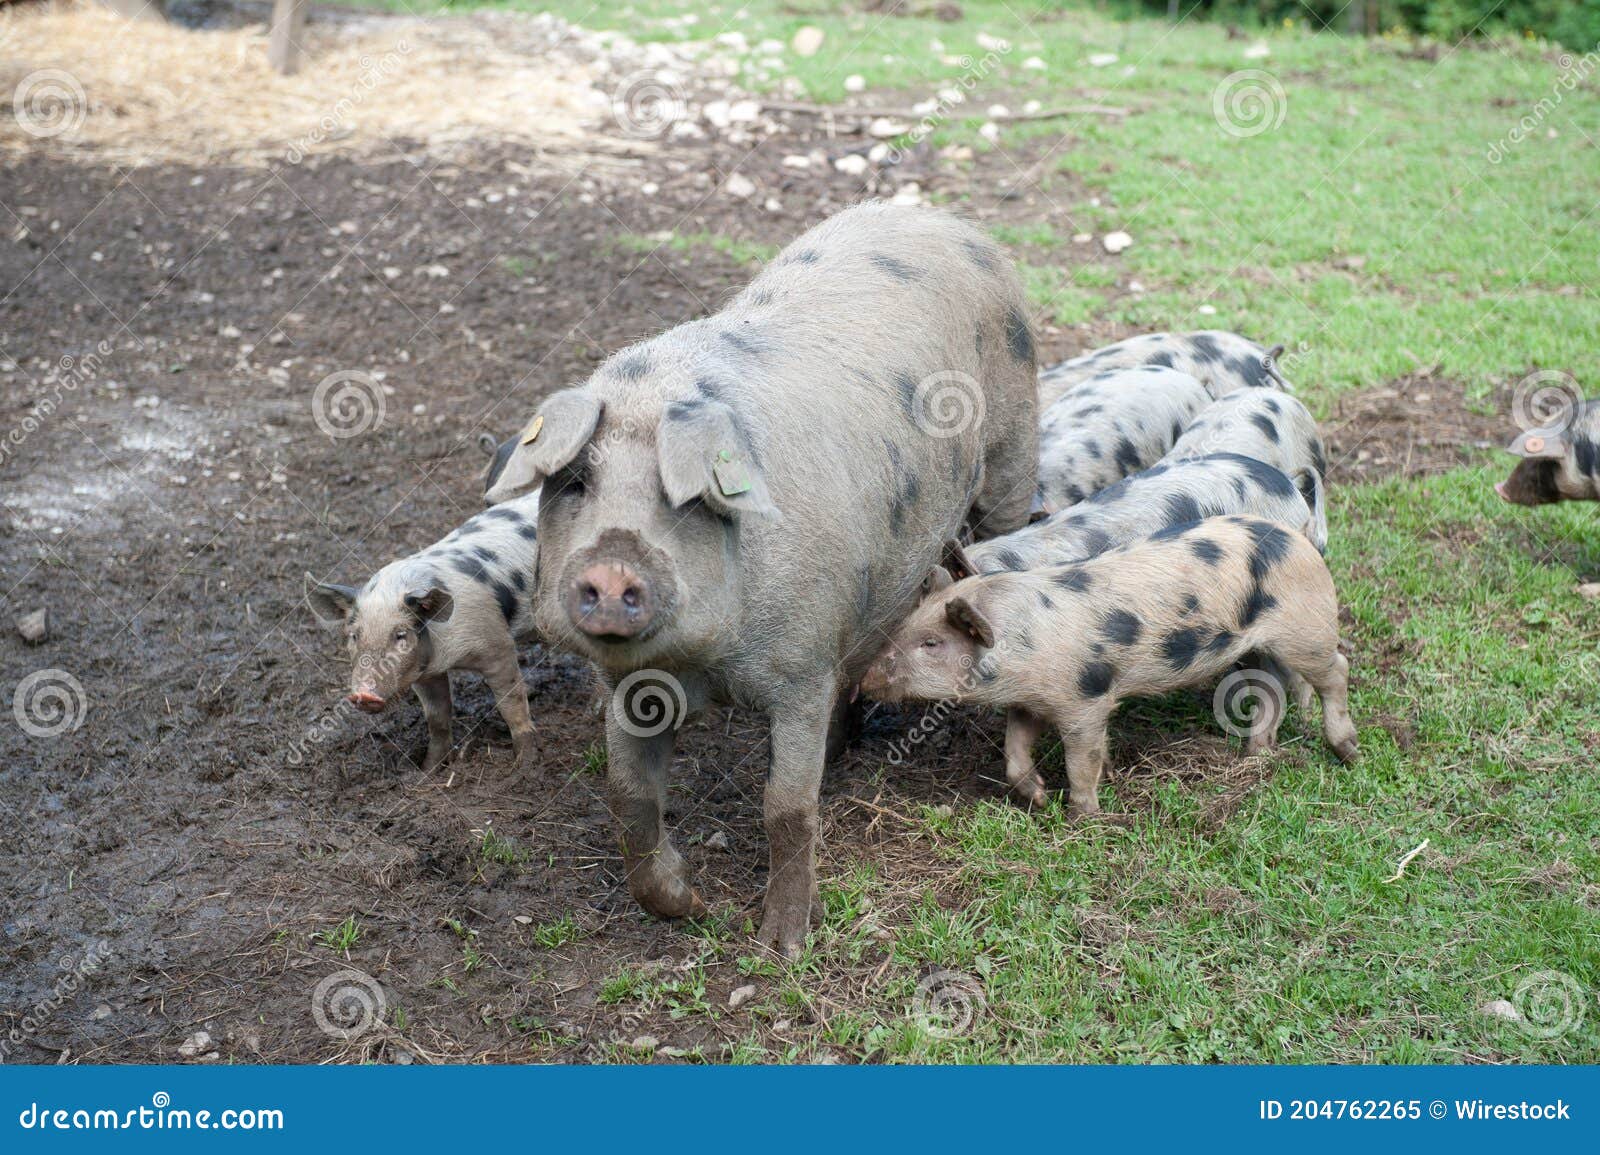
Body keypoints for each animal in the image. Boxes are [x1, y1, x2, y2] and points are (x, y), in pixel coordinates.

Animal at [304, 490, 542, 775]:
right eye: (354, 636)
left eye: (401, 635)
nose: (363, 694)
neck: (448, 658)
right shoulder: (425, 675)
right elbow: (437, 719)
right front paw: (427, 770)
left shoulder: (498, 644)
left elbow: (511, 704)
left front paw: (524, 766)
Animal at [481, 201, 1038, 956]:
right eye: (575, 482)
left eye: (685, 496)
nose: (612, 567)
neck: (705, 666)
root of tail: (940, 218)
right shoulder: (630, 683)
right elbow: (629, 797)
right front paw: (689, 907)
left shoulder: (800, 667)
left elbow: (787, 808)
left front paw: (781, 945)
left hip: (1013, 448)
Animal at [860, 516, 1359, 812]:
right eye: (906, 625)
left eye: (931, 642)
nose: (864, 681)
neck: (1020, 645)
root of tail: (1298, 539)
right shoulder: (1029, 700)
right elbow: (1013, 753)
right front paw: (1039, 798)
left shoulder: (1085, 699)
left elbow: (1082, 759)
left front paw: (1082, 816)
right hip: (1260, 646)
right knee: (1271, 689)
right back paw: (1256, 755)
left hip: (1305, 630)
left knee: (1337, 669)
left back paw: (1348, 753)